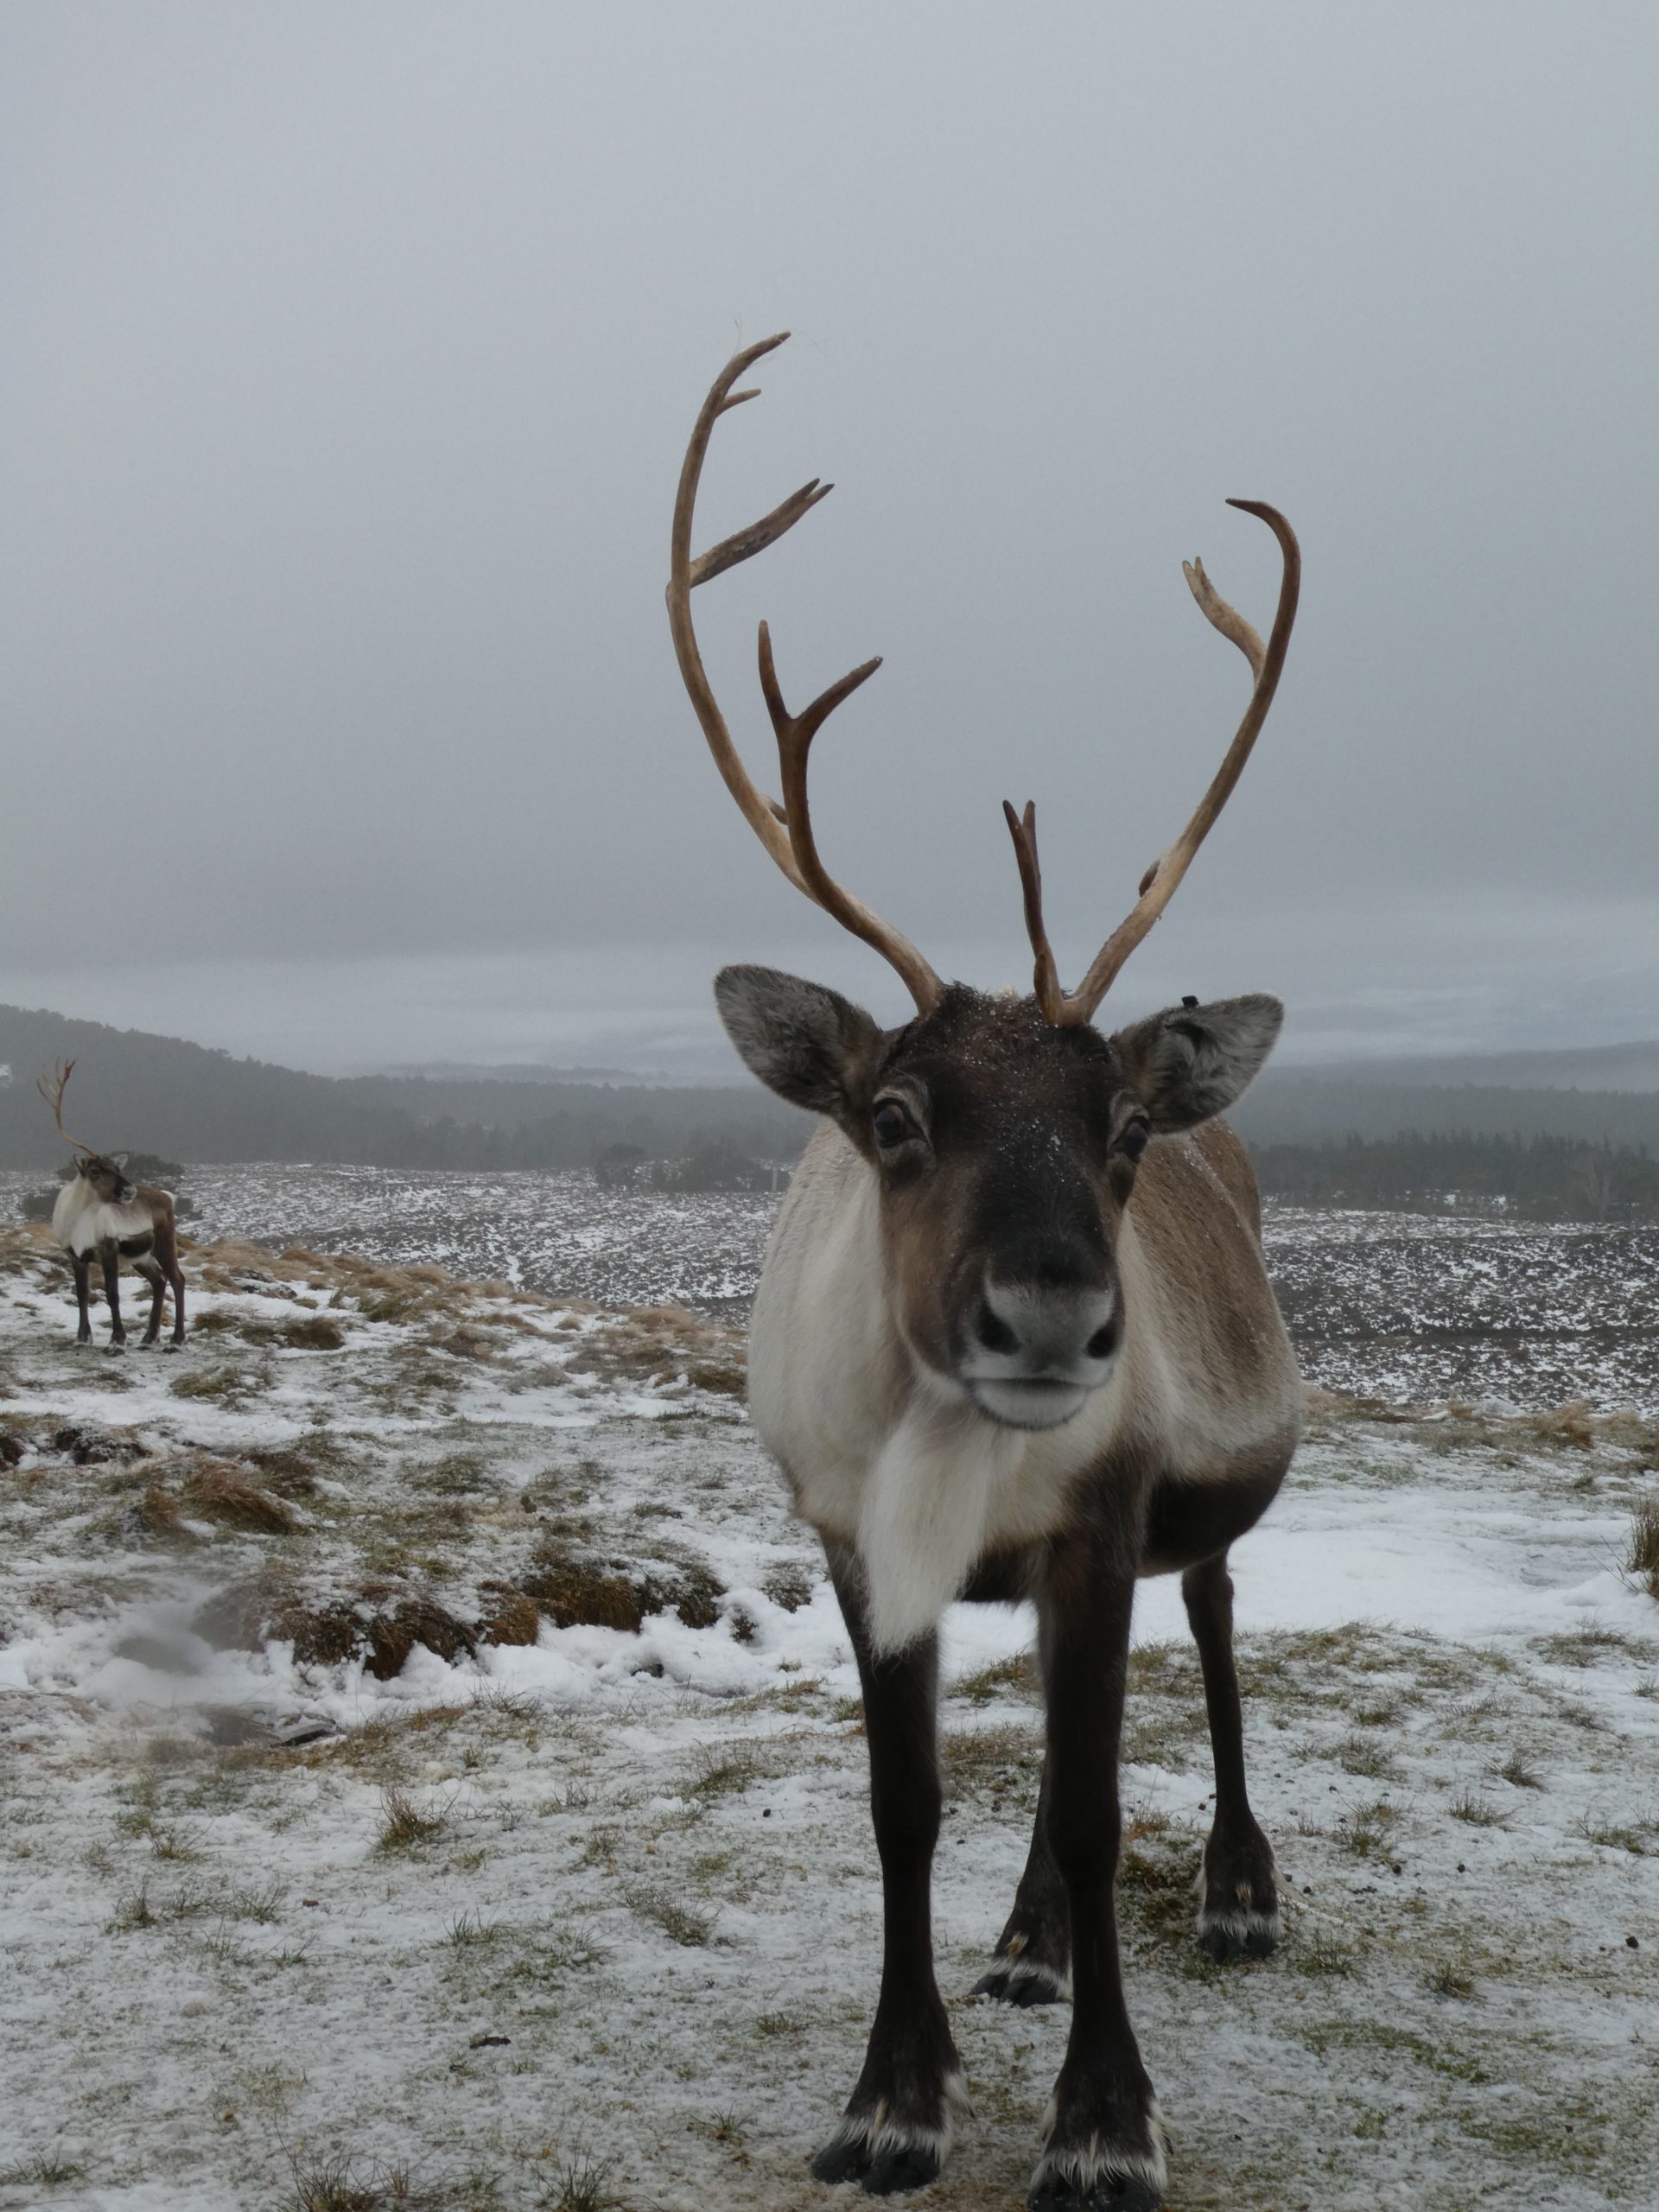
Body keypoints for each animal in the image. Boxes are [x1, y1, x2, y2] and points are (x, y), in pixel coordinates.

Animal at [38, 1062, 187, 1351]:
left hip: (165, 1244)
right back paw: (149, 1337)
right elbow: (82, 1294)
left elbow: (112, 1294)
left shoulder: (108, 1249)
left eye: (117, 1168)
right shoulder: (74, 1255)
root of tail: (167, 1197)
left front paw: (117, 1339)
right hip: (141, 1257)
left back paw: (177, 1339)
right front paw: (82, 1337)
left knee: (177, 1279)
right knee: (159, 1281)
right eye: (95, 1171)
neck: (77, 1220)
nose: (129, 1190)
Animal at [667, 336, 1303, 2210]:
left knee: (1215, 1630)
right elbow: (911, 1805)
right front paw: (896, 2093)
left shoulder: (1102, 1513)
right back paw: (1019, 1940)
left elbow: (1095, 1810)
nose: (1052, 1320)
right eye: (892, 1114)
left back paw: (1238, 1885)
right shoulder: (857, 1538)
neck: (948, 1452)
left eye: (1124, 1127)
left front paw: (1102, 2120)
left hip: (1191, 1504)